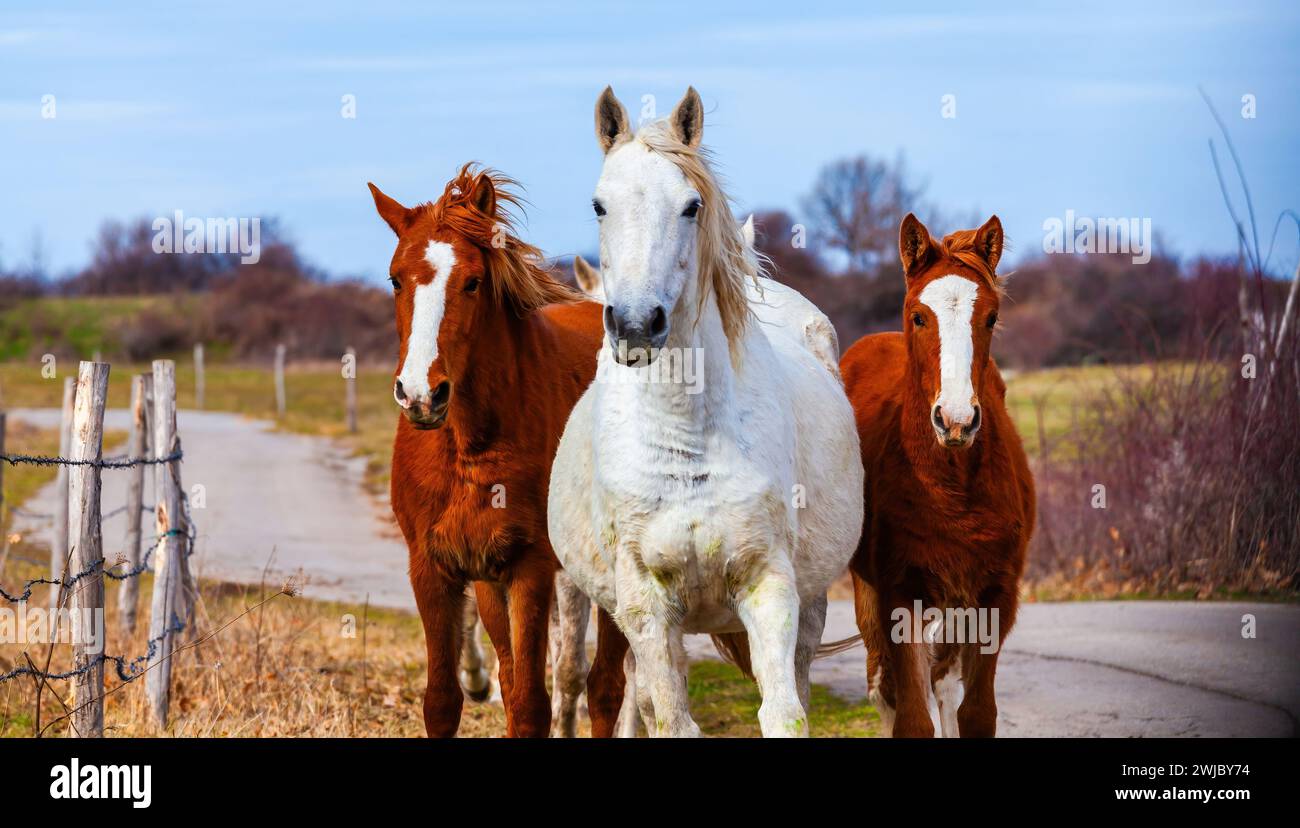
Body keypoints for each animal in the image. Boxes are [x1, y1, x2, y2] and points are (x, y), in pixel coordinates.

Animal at [370, 164, 629, 737]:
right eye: (396, 279)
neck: (468, 445)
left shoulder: (530, 570)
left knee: (606, 687)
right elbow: (446, 700)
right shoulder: (434, 569)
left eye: (472, 281)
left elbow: (533, 703)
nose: (421, 395)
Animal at [548, 87, 864, 737]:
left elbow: (784, 712)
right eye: (599, 204)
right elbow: (667, 715)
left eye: (691, 206)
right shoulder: (644, 601)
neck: (685, 439)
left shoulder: (770, 586)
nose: (637, 324)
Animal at [840, 213, 1035, 737]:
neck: (952, 488)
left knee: (944, 682)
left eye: (990, 318)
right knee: (883, 686)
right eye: (918, 316)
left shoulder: (995, 598)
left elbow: (976, 713)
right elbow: (910, 716)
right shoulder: (899, 596)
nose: (956, 420)